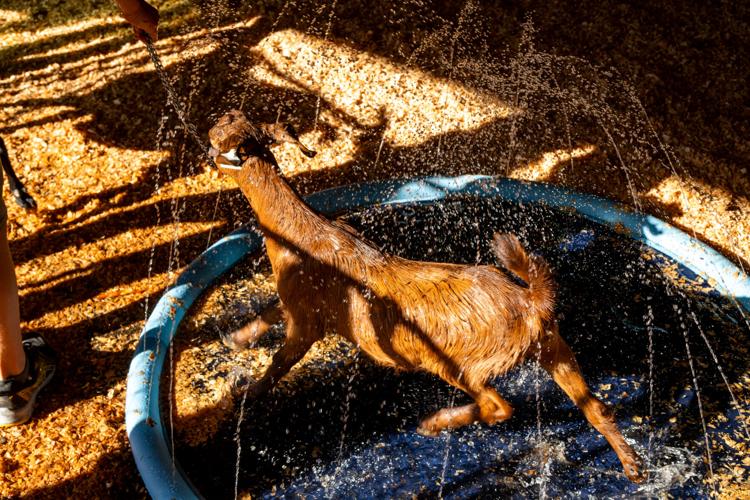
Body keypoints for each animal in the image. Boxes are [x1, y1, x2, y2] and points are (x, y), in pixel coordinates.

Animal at [207, 109, 644, 483]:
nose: (207, 139)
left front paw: (244, 395)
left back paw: (435, 423)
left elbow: (279, 361)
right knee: (593, 406)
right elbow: (268, 311)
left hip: (461, 363)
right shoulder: (297, 301)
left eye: (219, 140)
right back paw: (633, 468)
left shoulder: (307, 318)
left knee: (499, 406)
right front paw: (233, 338)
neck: (300, 232)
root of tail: (531, 302)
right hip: (555, 348)